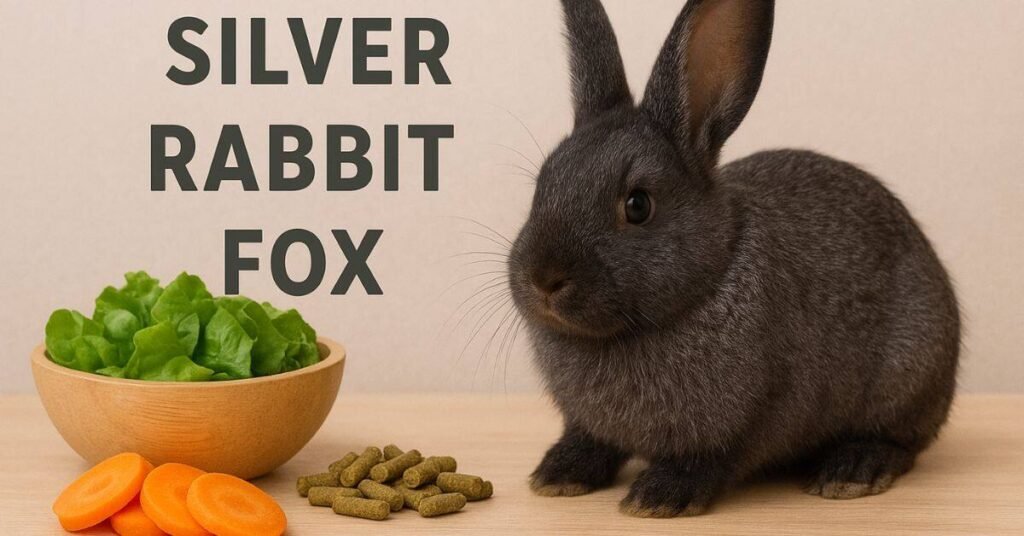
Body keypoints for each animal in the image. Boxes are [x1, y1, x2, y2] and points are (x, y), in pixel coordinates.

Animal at [506, 0, 961, 518]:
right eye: (542, 184)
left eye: (638, 205)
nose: (543, 278)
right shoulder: (586, 423)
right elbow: (589, 439)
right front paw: (558, 475)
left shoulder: (752, 417)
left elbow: (714, 458)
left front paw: (660, 496)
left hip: (909, 372)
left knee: (902, 440)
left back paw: (854, 470)